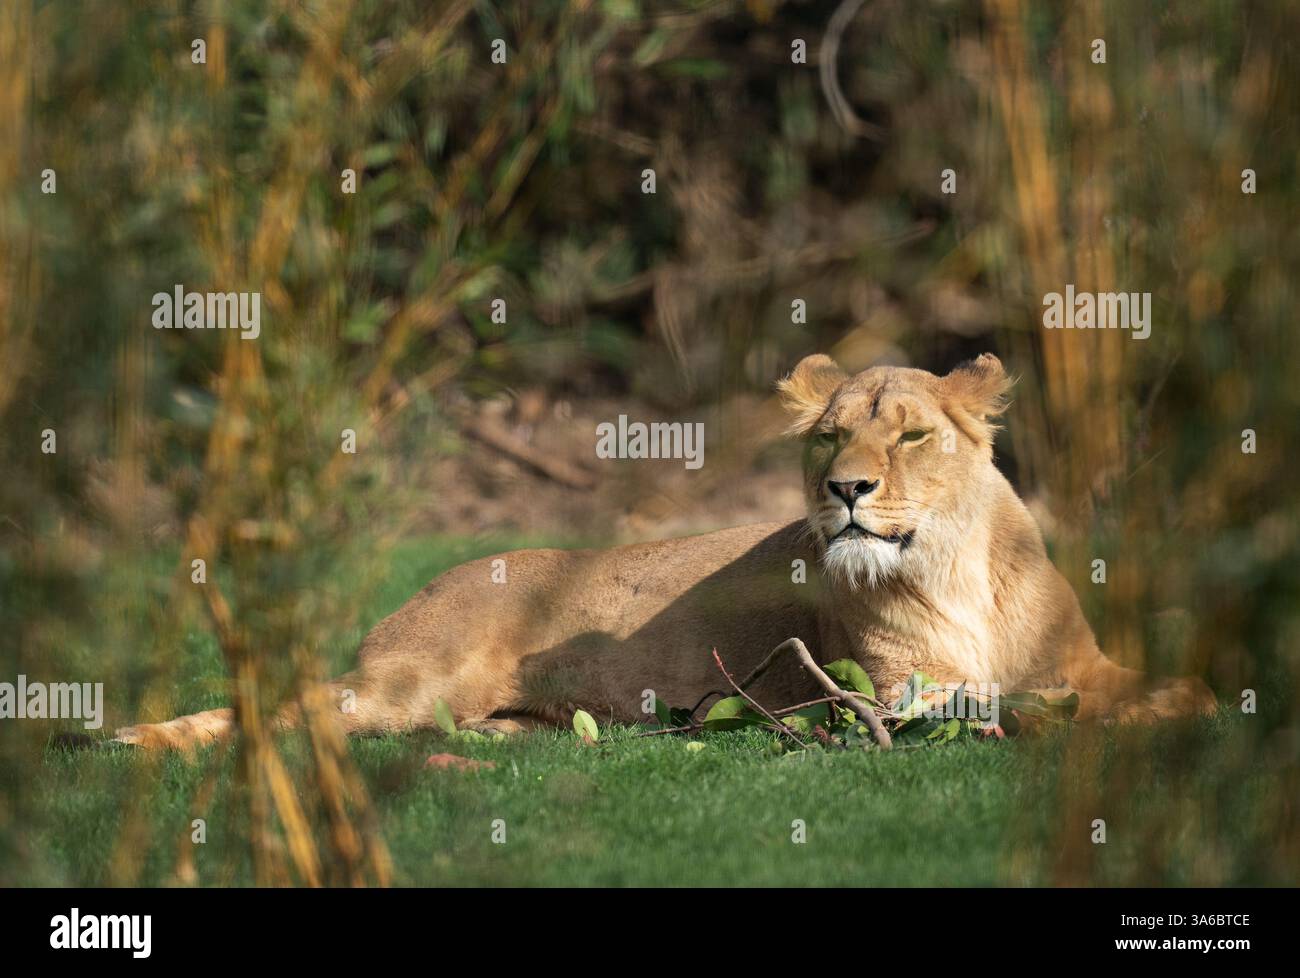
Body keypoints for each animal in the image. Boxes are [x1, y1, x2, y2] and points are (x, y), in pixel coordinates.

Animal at [113, 353, 1215, 749]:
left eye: (907, 437)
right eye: (827, 438)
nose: (845, 491)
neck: (952, 566)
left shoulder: (1079, 659)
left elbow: (1141, 687)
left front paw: (1186, 703)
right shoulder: (898, 691)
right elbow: (1025, 709)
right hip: (406, 682)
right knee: (290, 712)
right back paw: (136, 738)